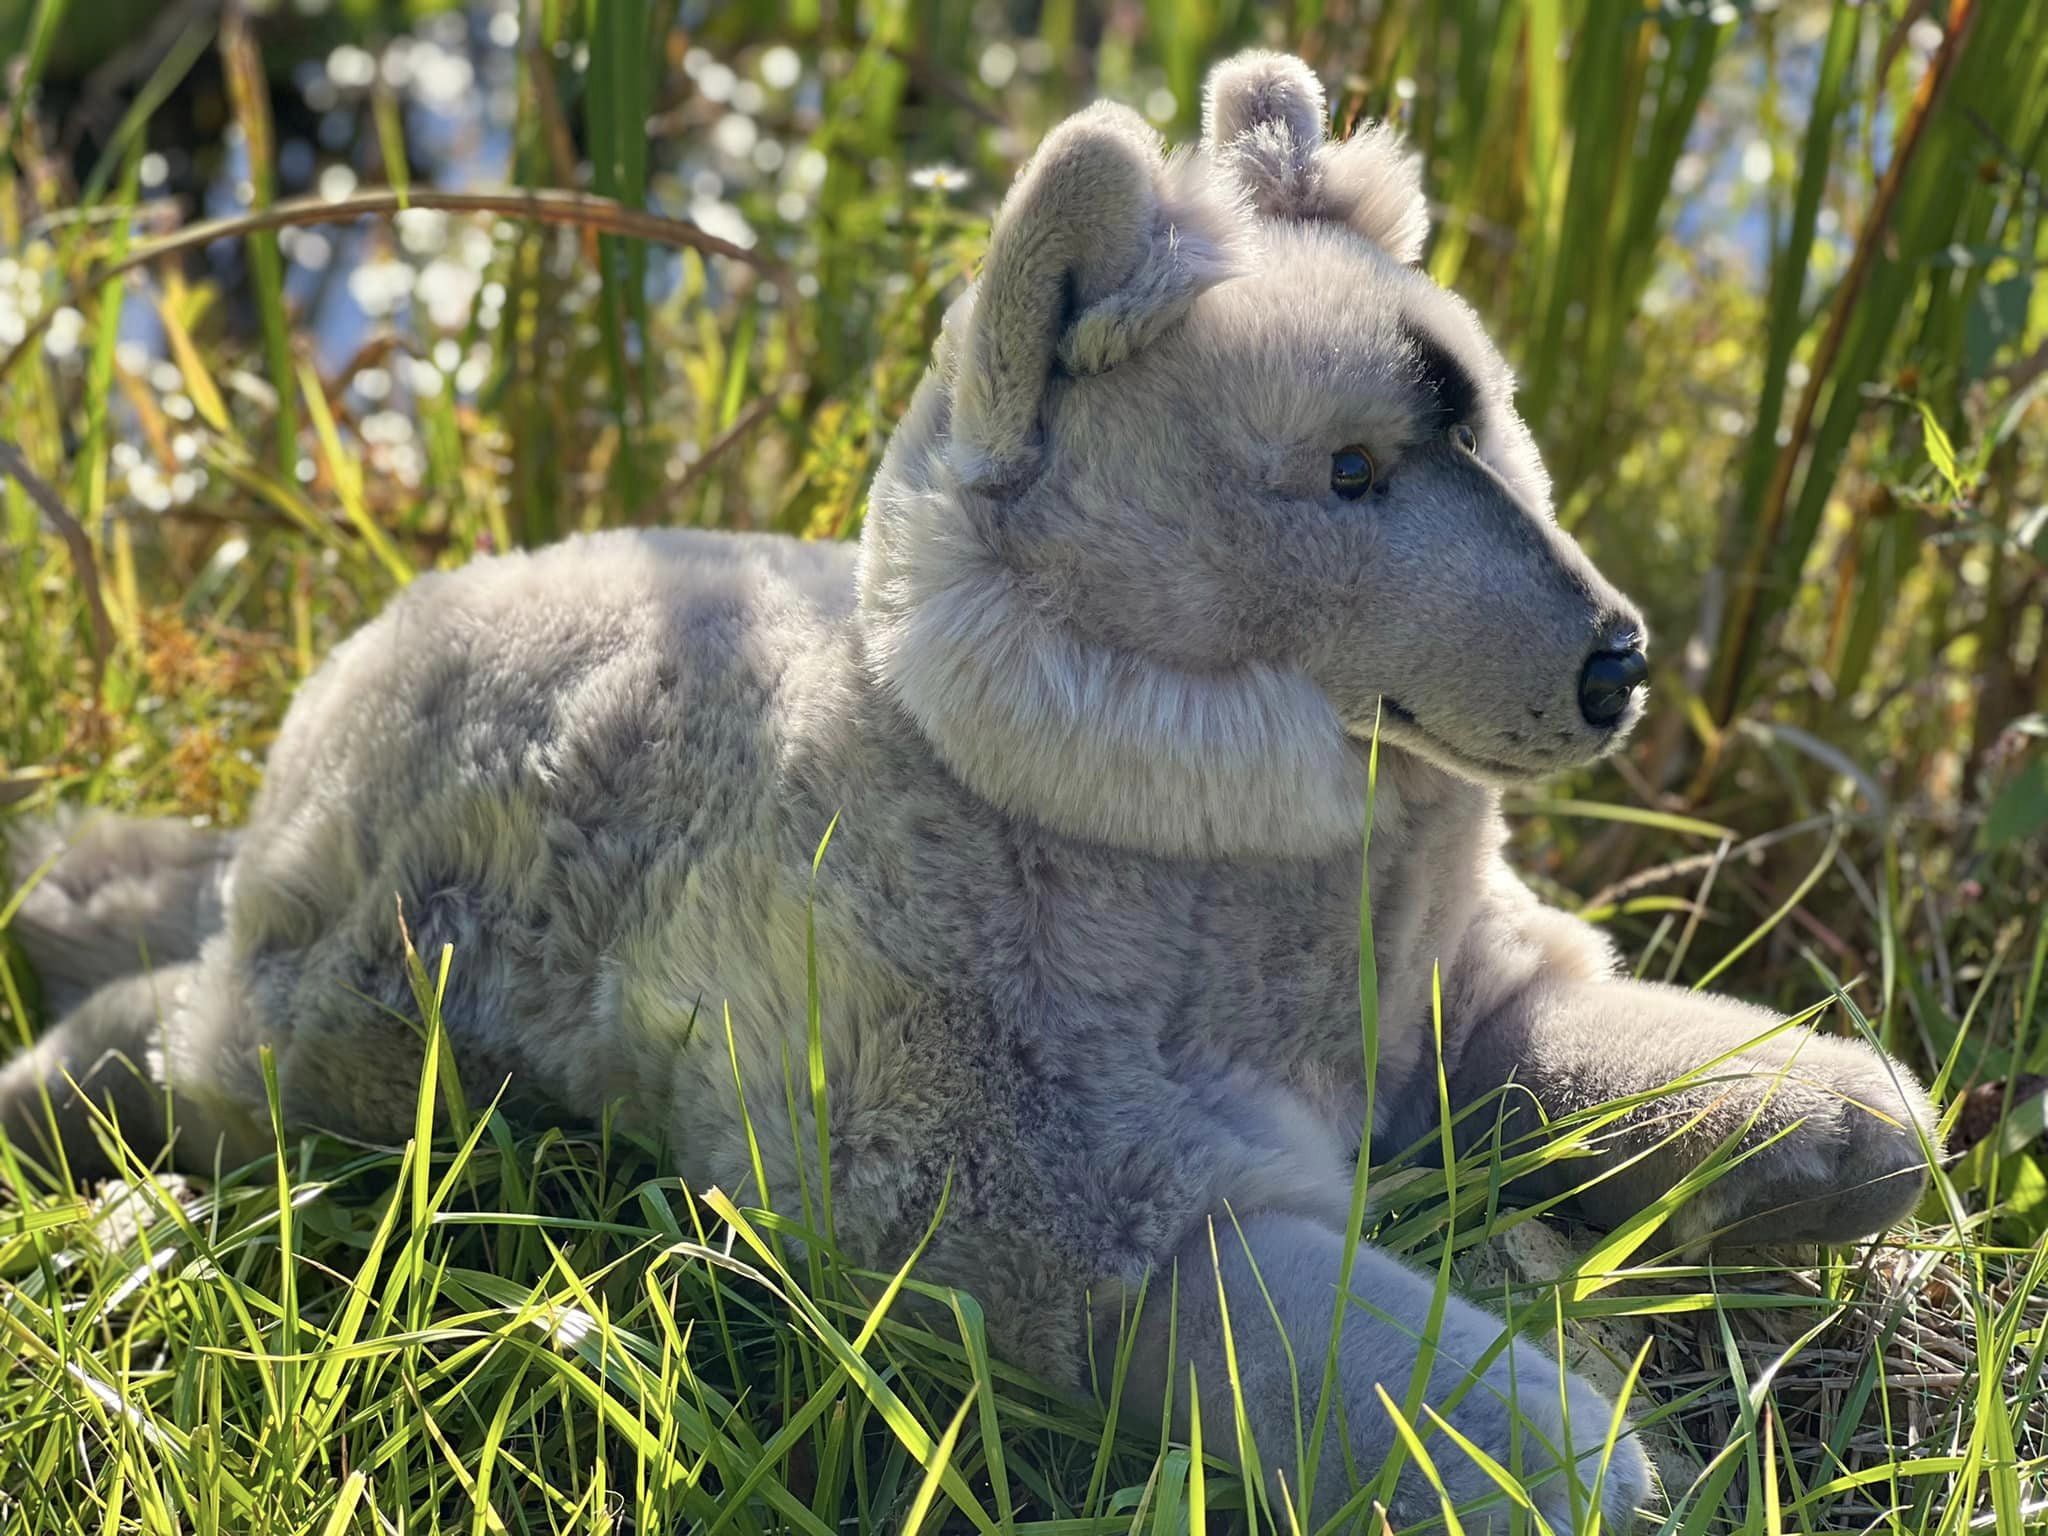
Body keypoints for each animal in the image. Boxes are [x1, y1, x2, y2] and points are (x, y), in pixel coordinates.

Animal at [2, 51, 1935, 1531]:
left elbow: (1594, 1060)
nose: (1616, 664)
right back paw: (46, 1066)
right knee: (167, 1030)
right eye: (1346, 474)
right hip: (336, 1030)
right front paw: (1571, 1459)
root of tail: (342, 699)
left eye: (1493, 426)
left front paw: (1829, 1124)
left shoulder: (1450, 1000)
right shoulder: (1032, 1206)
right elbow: (1317, 1343)